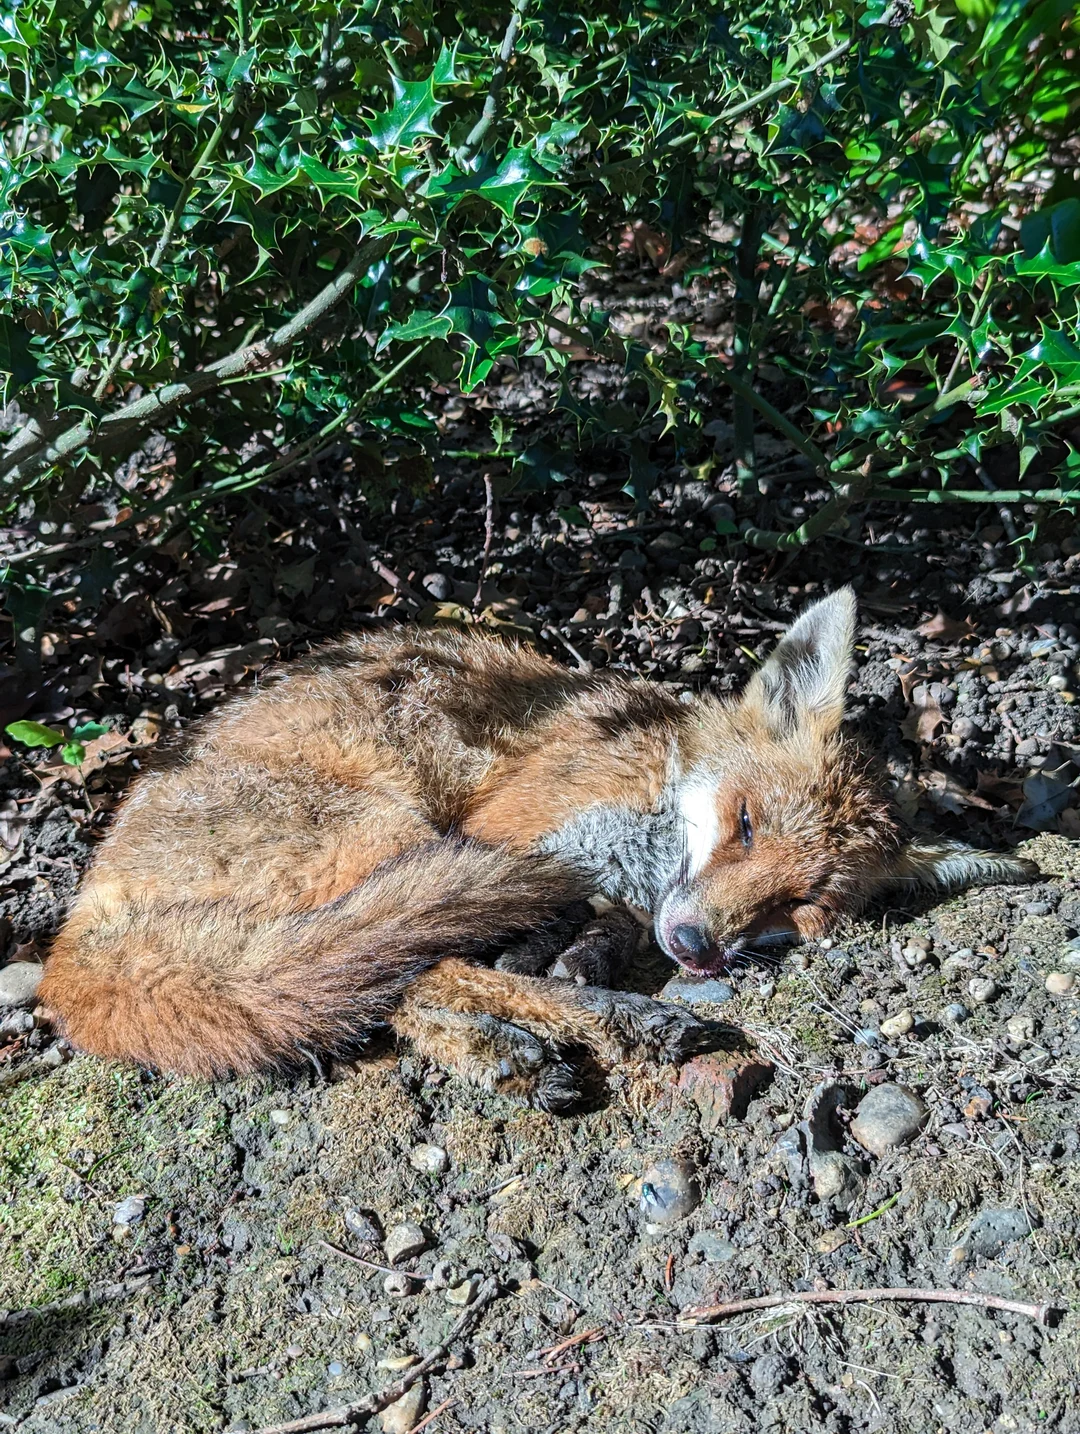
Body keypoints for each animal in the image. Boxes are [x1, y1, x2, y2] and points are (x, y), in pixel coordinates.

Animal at [40, 586, 1031, 1106]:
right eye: (746, 823)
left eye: (804, 905)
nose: (696, 948)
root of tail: (70, 941)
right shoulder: (513, 835)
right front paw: (578, 975)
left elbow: (598, 926)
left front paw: (581, 954)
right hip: (400, 829)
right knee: (408, 972)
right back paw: (600, 1030)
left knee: (390, 983)